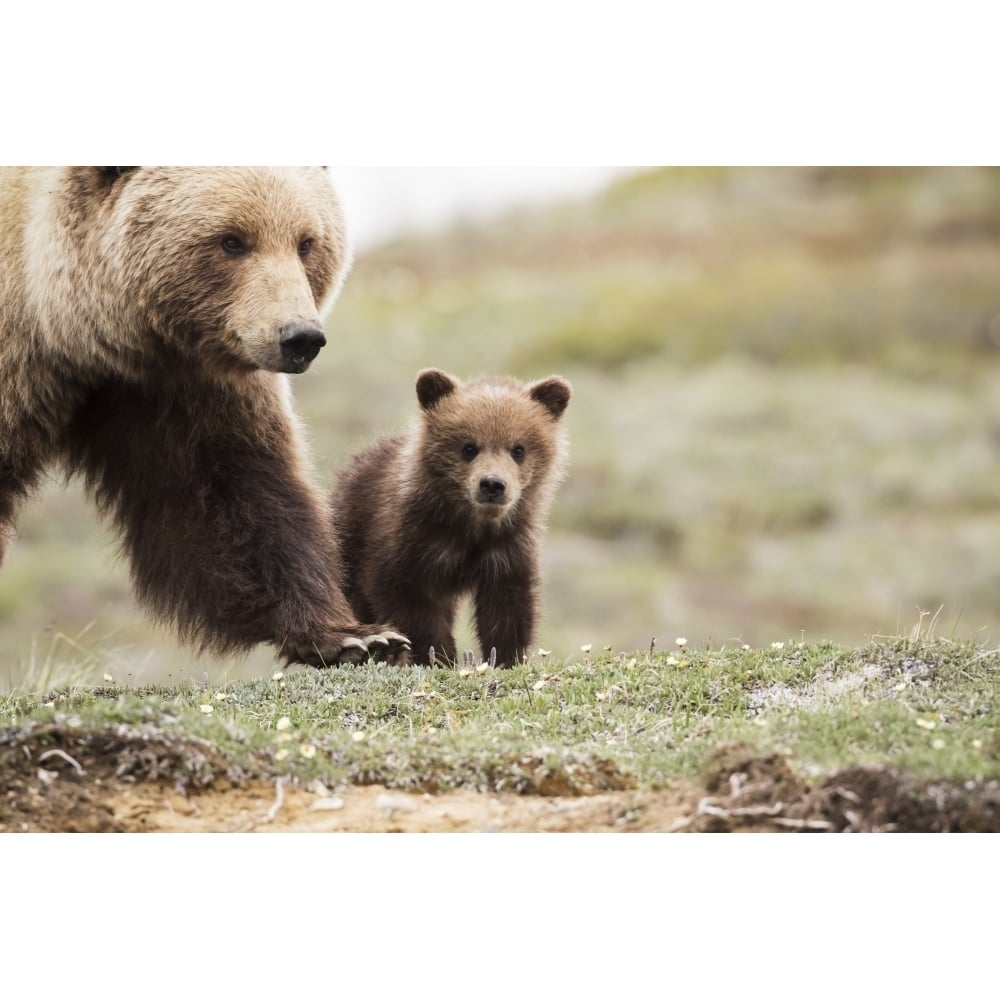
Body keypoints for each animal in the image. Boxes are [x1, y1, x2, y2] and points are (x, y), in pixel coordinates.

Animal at [0, 166, 408, 667]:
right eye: (232, 240)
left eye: (306, 242)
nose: (300, 338)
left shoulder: (181, 385)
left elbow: (230, 490)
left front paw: (354, 637)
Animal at [329, 367, 572, 667]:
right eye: (468, 447)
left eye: (519, 449)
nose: (492, 484)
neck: (468, 525)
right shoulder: (407, 542)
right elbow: (407, 602)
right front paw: (439, 656)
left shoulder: (507, 548)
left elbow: (507, 609)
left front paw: (506, 658)